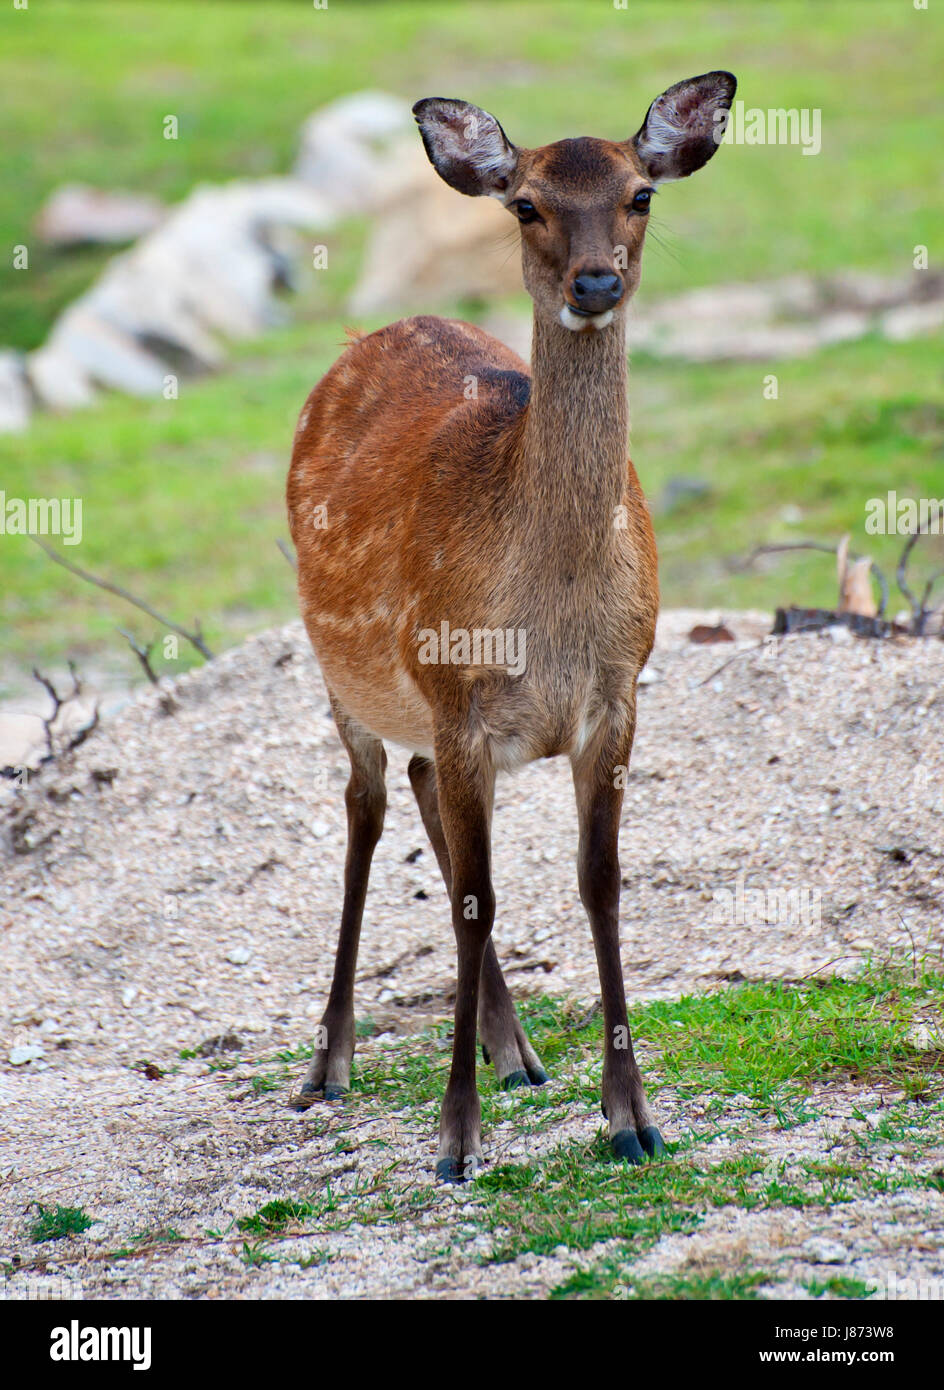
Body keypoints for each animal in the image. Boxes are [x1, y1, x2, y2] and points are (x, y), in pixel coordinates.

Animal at [287, 71, 737, 1181]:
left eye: (639, 193)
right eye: (526, 203)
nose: (594, 282)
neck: (550, 611)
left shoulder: (615, 696)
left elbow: (599, 884)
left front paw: (632, 1118)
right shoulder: (456, 694)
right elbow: (475, 899)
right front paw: (454, 1140)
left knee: (415, 794)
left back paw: (518, 1052)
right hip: (343, 667)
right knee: (364, 804)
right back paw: (330, 1063)